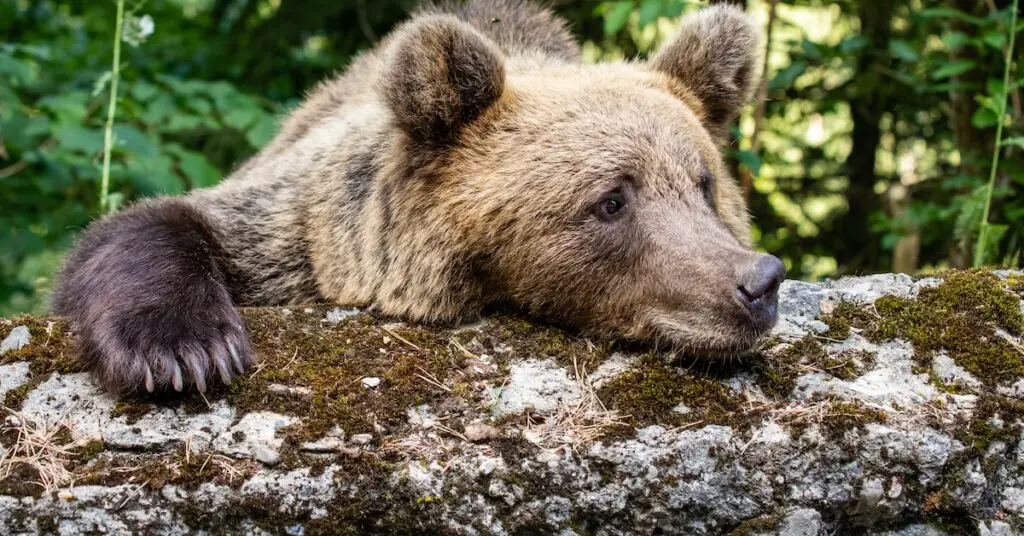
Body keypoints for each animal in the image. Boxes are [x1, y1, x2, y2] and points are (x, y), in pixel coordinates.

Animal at [51, 0, 786, 395]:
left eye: (703, 185)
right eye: (612, 199)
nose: (758, 281)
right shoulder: (304, 235)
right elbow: (158, 225)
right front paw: (184, 351)